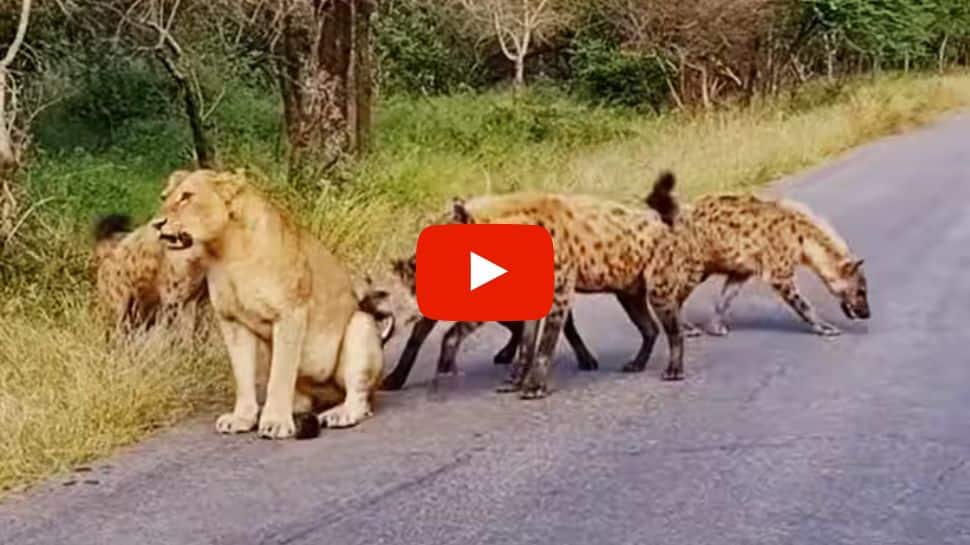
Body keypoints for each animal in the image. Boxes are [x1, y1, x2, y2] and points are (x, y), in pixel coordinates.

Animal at [152, 169, 391, 440]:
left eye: (186, 197)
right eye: (164, 197)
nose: (156, 224)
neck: (225, 250)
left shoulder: (289, 315)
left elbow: (281, 375)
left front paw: (276, 421)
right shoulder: (232, 322)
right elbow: (242, 375)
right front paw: (241, 418)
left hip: (361, 324)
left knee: (361, 398)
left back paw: (341, 414)